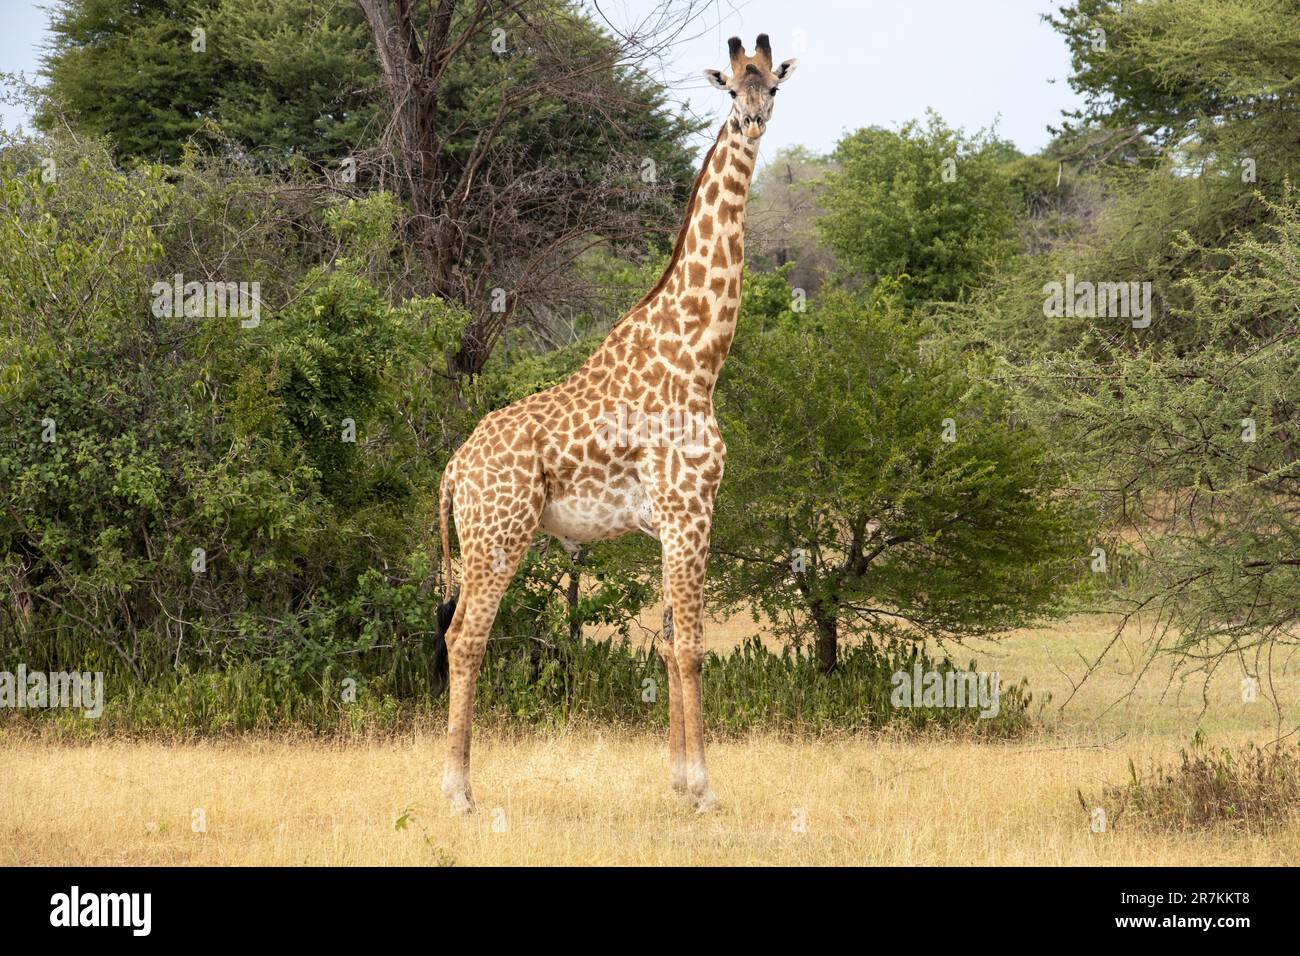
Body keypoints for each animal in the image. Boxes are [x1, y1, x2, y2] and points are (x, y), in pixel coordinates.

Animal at [433, 34, 798, 815]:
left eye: (773, 88)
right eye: (732, 90)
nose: (752, 121)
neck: (700, 355)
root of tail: (453, 469)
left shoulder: (672, 520)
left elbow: (667, 641)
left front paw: (678, 783)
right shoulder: (689, 507)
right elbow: (691, 646)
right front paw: (704, 791)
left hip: (487, 537)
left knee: (458, 634)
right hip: (498, 533)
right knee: (466, 638)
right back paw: (459, 793)